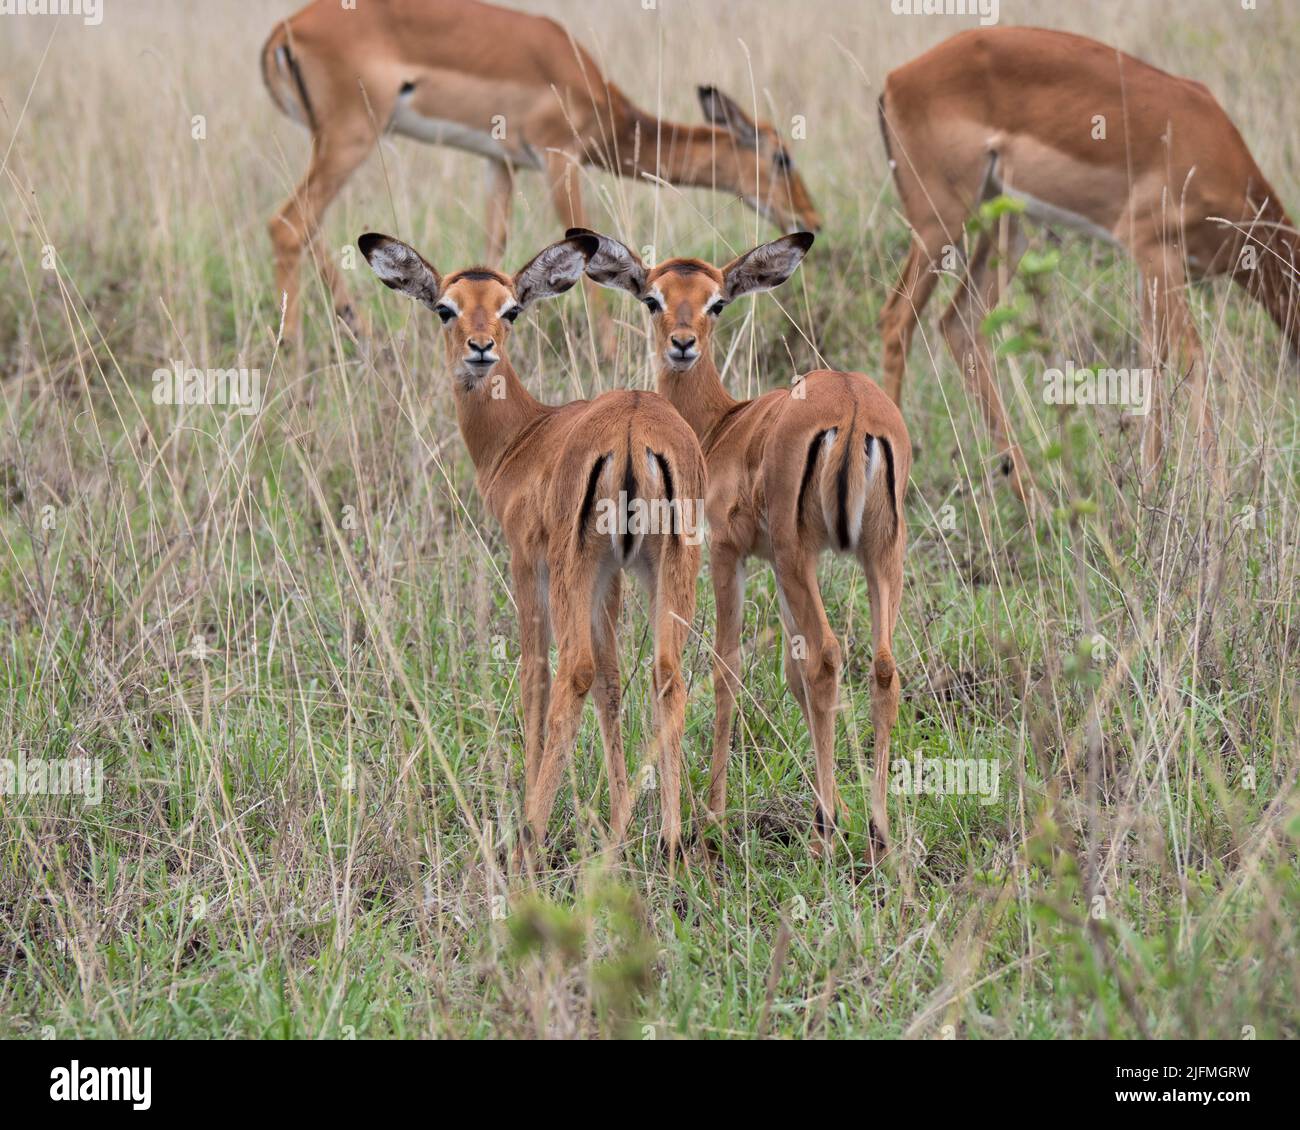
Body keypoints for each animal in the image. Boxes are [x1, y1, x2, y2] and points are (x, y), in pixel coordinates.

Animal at [263, 0, 820, 342]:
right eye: (783, 157)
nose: (810, 217)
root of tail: (285, 30)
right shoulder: (560, 159)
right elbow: (586, 251)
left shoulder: (500, 162)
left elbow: (492, 250)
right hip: (352, 137)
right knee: (288, 222)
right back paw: (293, 354)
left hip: (333, 142)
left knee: (310, 223)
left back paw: (358, 329)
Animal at [357, 230, 705, 860]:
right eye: (446, 308)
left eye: (510, 309)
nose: (481, 348)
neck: (526, 437)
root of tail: (633, 427)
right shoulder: (611, 577)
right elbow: (614, 681)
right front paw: (616, 824)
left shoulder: (527, 562)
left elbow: (535, 676)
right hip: (668, 566)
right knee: (666, 672)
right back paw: (669, 843)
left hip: (574, 568)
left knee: (572, 672)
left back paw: (529, 837)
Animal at [573, 227, 910, 858]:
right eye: (653, 298)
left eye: (716, 303)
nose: (682, 344)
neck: (725, 425)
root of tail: (854, 409)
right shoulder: (778, 567)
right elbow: (791, 675)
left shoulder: (730, 555)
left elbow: (727, 667)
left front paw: (713, 813)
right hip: (878, 557)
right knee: (880, 666)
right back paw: (876, 830)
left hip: (799, 556)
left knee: (828, 656)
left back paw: (825, 832)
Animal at [877, 27, 1300, 501]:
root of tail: (896, 80)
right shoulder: (1154, 249)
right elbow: (1191, 355)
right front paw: (1219, 495)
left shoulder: (1154, 269)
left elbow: (1154, 358)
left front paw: (1150, 486)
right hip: (940, 223)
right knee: (897, 320)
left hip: (1008, 227)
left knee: (960, 324)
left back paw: (1036, 497)